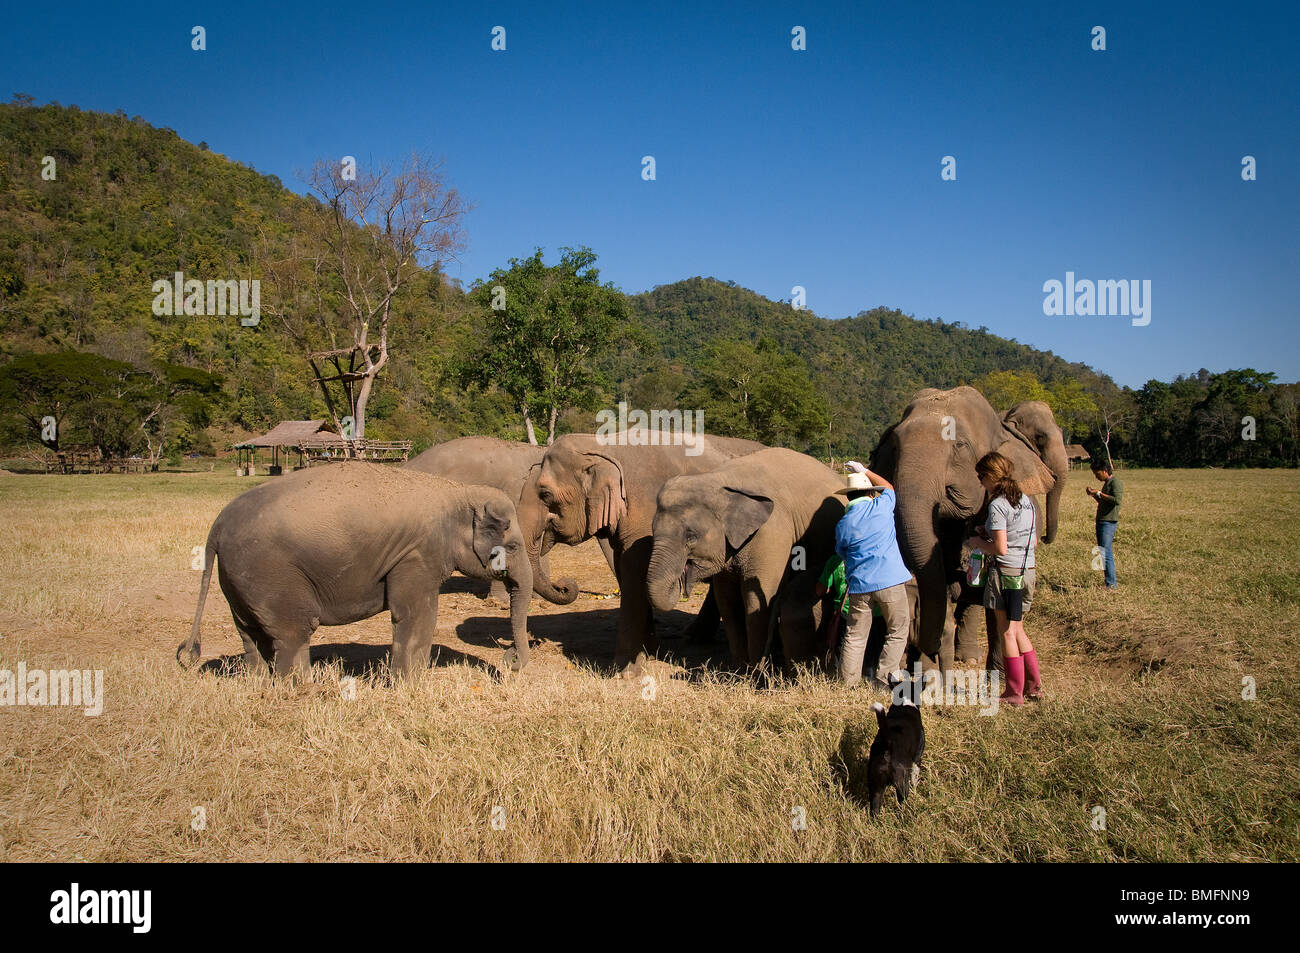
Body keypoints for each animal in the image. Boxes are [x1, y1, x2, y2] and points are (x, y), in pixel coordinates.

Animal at [176, 462, 532, 678]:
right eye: (514, 547)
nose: (510, 661)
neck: (457, 492)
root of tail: (217, 526)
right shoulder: (416, 555)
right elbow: (416, 614)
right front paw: (410, 685)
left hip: (237, 579)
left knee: (251, 634)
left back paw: (262, 685)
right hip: (269, 573)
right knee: (293, 631)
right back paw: (302, 690)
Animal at [519, 430, 767, 674]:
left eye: (546, 495)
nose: (564, 584)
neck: (604, 445)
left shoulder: (646, 512)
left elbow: (635, 571)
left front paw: (625, 671)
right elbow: (625, 567)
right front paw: (650, 652)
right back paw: (694, 636)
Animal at [646, 448, 845, 669]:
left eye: (691, 536)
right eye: (653, 530)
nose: (682, 584)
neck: (720, 481)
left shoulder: (771, 534)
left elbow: (756, 600)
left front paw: (757, 668)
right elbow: (727, 600)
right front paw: (739, 668)